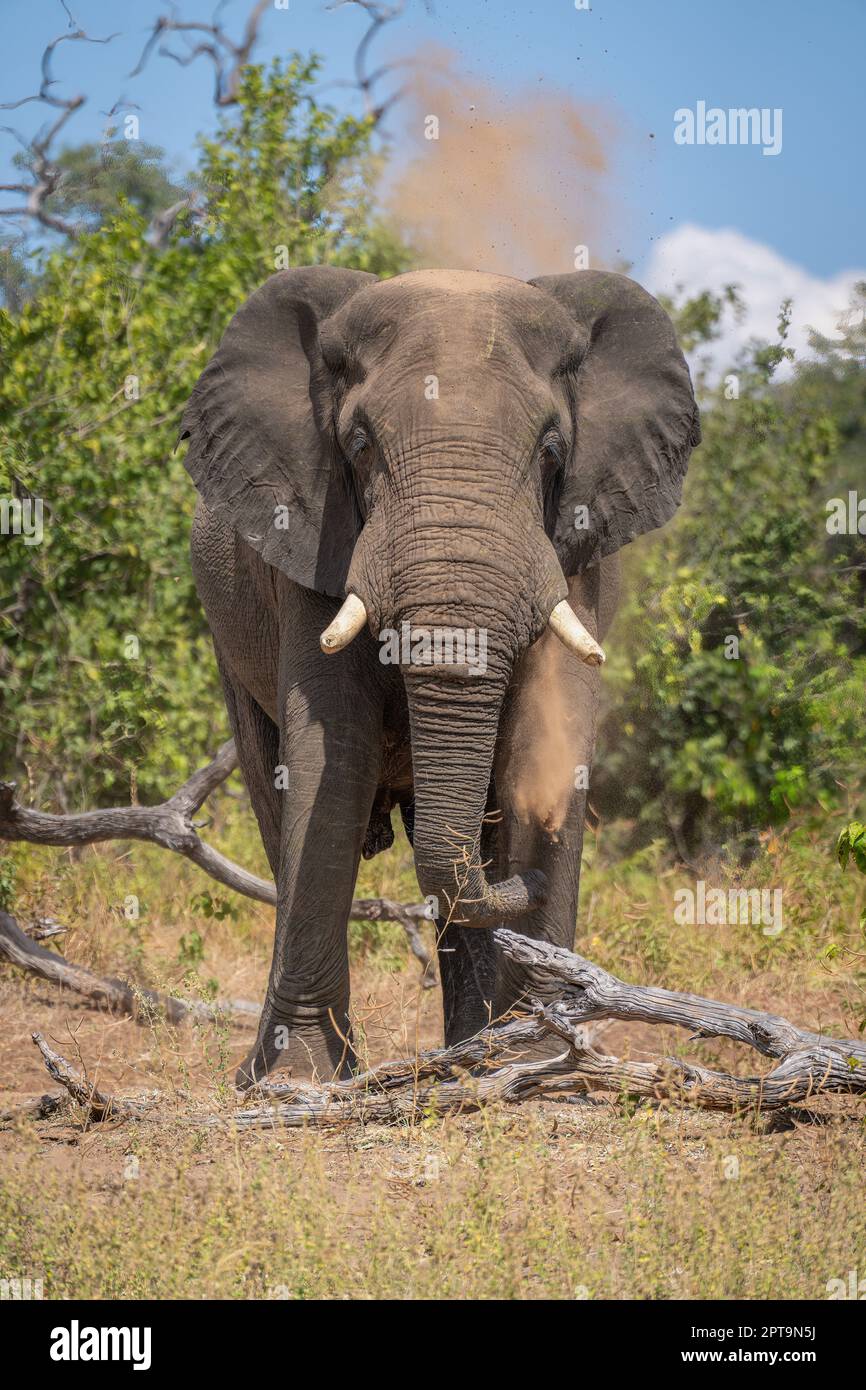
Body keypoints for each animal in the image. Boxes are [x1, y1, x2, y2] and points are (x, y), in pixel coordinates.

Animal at [180, 265, 700, 1088]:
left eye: (552, 449)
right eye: (359, 445)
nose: (524, 885)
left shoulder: (577, 549)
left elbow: (546, 744)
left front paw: (541, 1058)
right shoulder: (314, 541)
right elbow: (333, 760)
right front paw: (304, 1081)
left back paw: (474, 1054)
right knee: (274, 793)